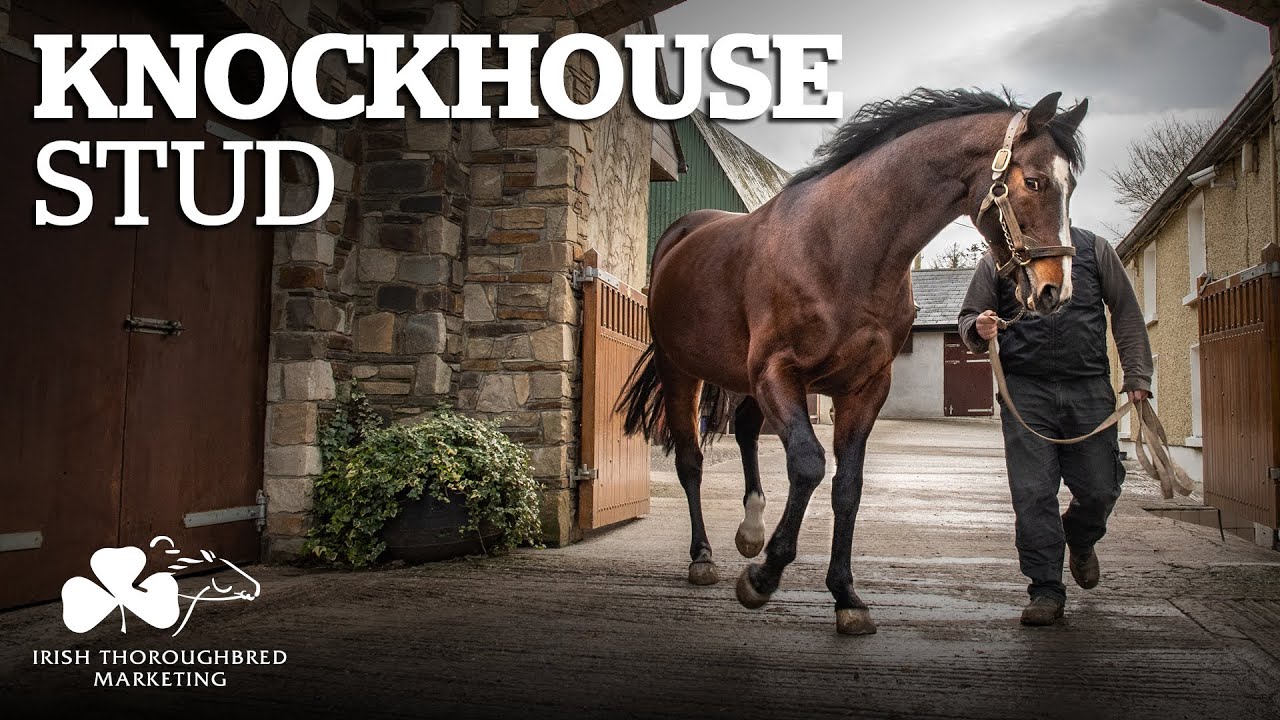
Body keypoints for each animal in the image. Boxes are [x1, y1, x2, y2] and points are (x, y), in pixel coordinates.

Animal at [618, 88, 1088, 635]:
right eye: (1033, 181)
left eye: (1071, 186)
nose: (1055, 291)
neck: (845, 246)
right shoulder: (779, 372)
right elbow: (808, 465)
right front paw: (764, 577)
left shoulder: (864, 387)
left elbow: (848, 485)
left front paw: (844, 595)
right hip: (682, 373)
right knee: (691, 461)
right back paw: (703, 557)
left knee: (747, 432)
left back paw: (751, 530)